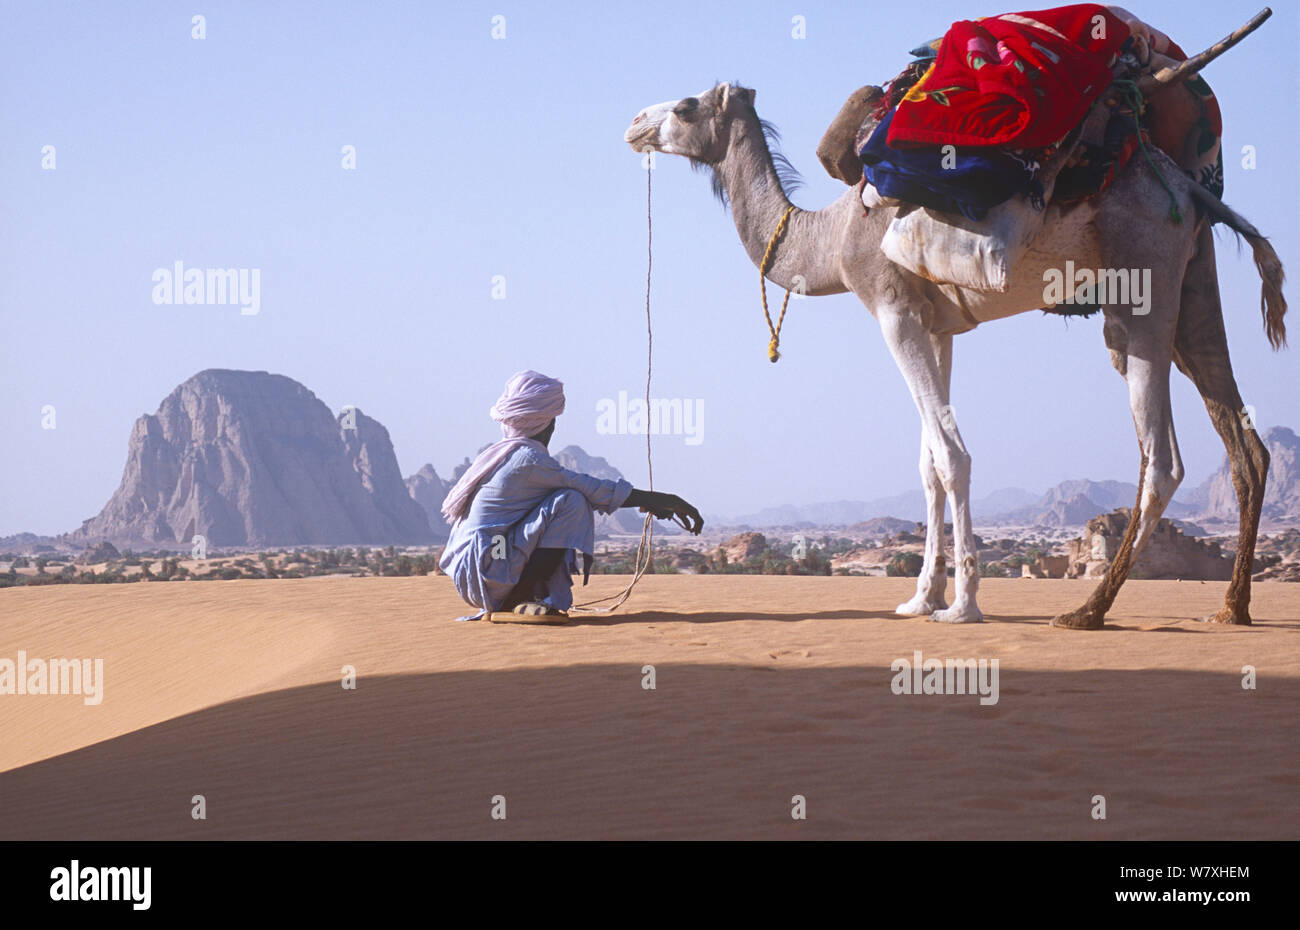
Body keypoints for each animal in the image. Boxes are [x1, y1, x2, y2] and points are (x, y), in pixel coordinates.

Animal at [623, 75, 1286, 629]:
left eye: (686, 106)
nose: (632, 123)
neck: (829, 239)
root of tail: (1187, 187)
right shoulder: (936, 325)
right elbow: (927, 464)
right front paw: (920, 597)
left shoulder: (892, 308)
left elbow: (950, 456)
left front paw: (962, 606)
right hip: (1194, 276)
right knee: (1244, 443)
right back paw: (1232, 608)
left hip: (1143, 274)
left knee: (1163, 458)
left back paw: (1087, 611)